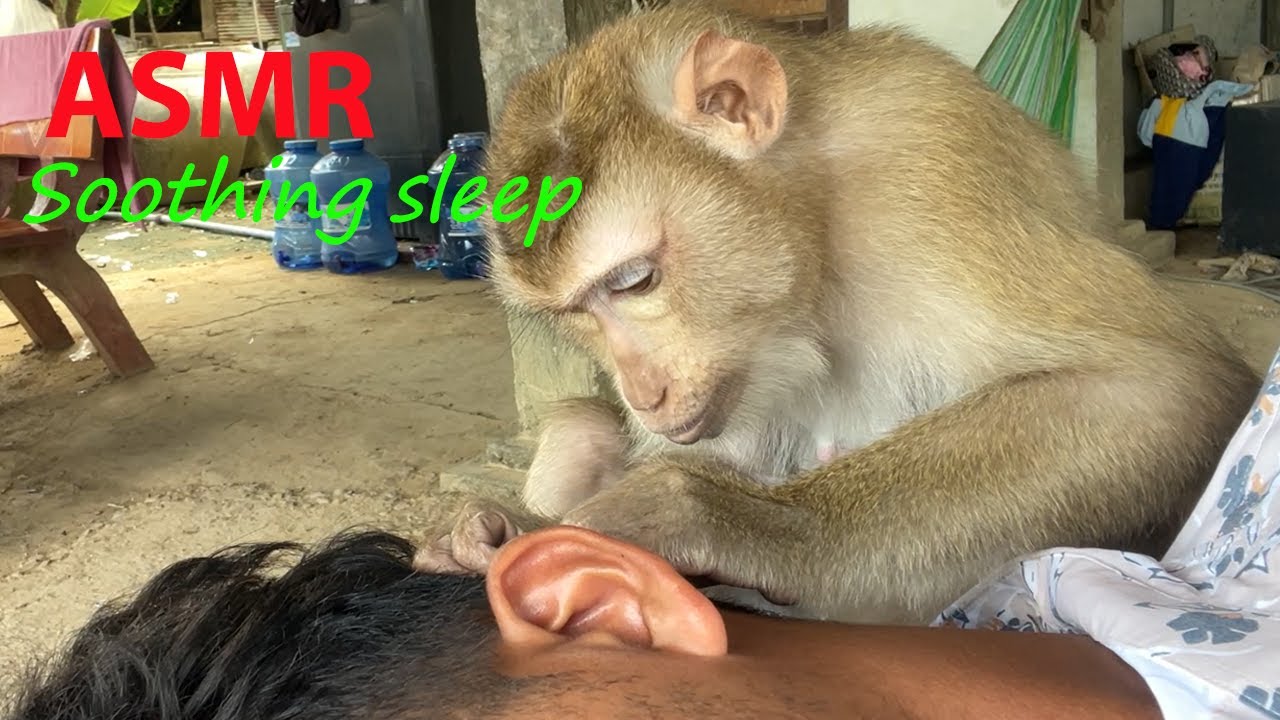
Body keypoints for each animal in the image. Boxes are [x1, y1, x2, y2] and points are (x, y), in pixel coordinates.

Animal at [463, 1, 1261, 625]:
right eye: (574, 313)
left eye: (634, 280)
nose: (644, 394)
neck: (818, 225)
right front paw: (492, 534)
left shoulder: (928, 163)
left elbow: (1162, 386)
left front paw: (728, 518)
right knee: (580, 422)